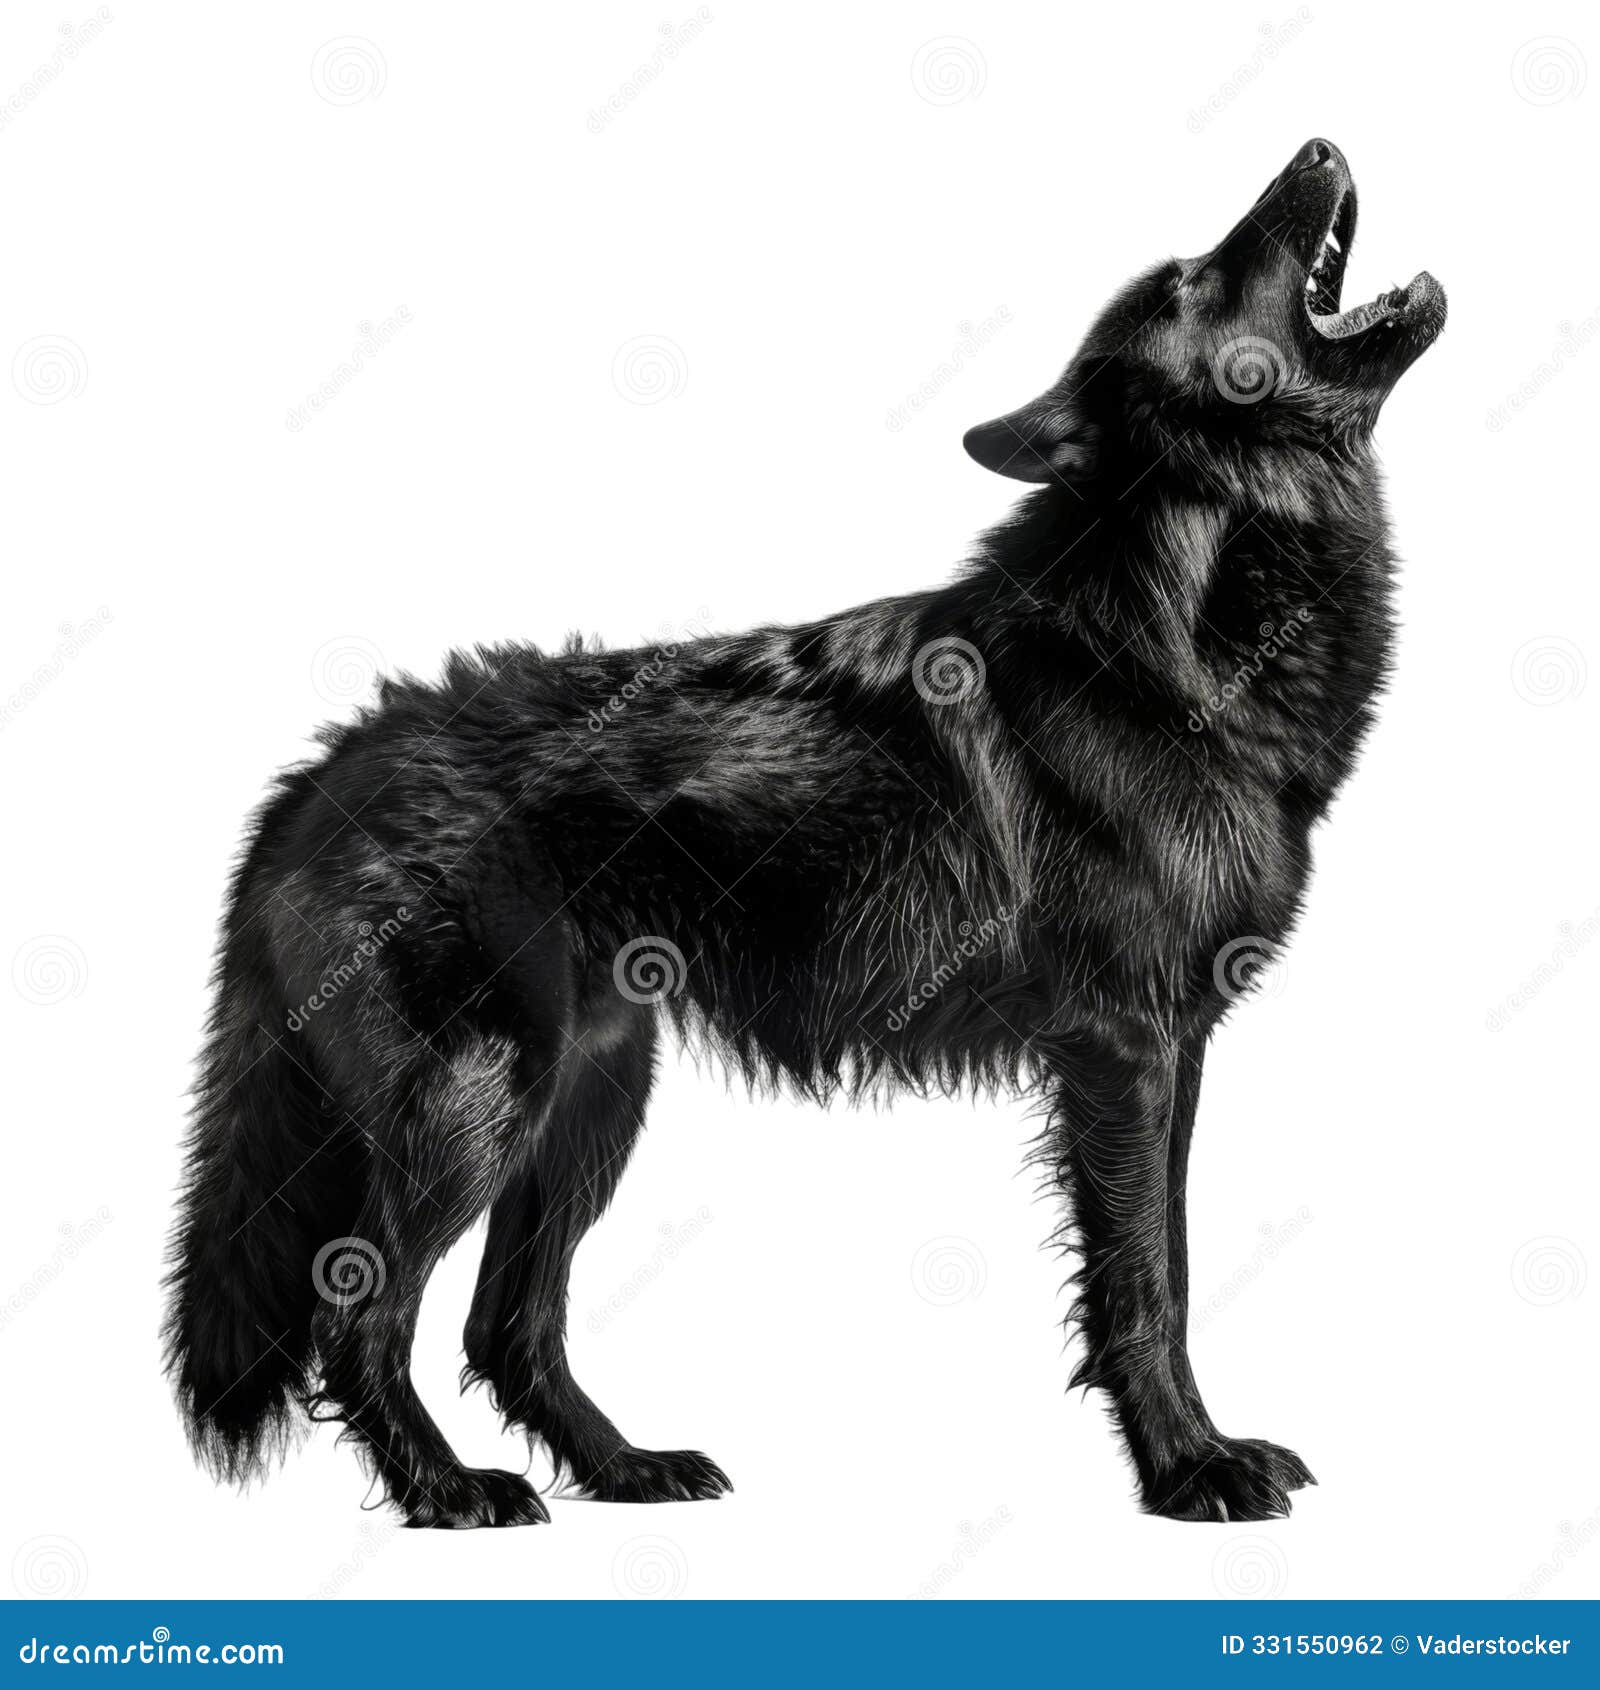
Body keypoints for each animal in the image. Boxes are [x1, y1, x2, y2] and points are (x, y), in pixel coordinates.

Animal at [165, 139, 1443, 1525]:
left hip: (592, 1103)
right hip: (480, 1106)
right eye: (1193, 281)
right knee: (362, 1314)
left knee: (505, 1326)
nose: (1316, 147)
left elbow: (1168, 1269)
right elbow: (1148, 1284)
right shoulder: (1126, 1048)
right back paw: (453, 1495)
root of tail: (321, 769)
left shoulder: (1176, 1049)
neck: (1175, 643)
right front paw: (1187, 1468)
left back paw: (627, 1469)